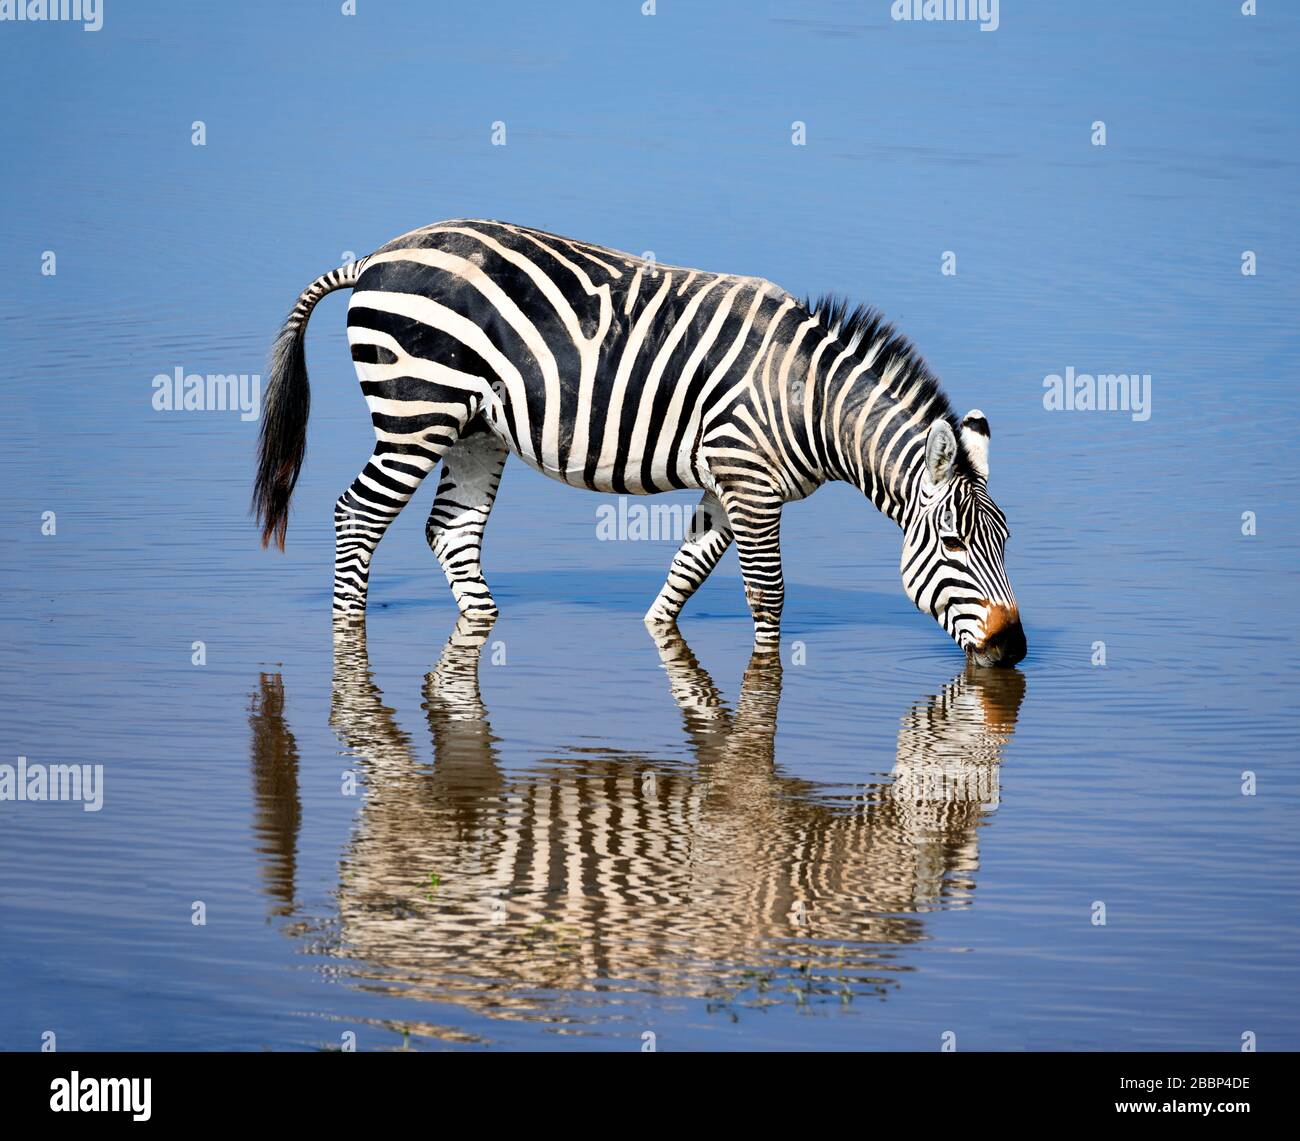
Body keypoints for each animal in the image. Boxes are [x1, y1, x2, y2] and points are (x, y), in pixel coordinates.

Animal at [253, 218, 1024, 665]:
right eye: (953, 545)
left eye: (1005, 543)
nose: (1013, 649)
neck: (806, 400)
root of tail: (374, 259)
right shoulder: (750, 483)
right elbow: (767, 596)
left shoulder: (725, 483)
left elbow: (686, 575)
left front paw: (657, 630)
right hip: (416, 410)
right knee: (356, 515)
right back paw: (349, 632)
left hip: (474, 430)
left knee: (450, 531)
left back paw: (483, 620)